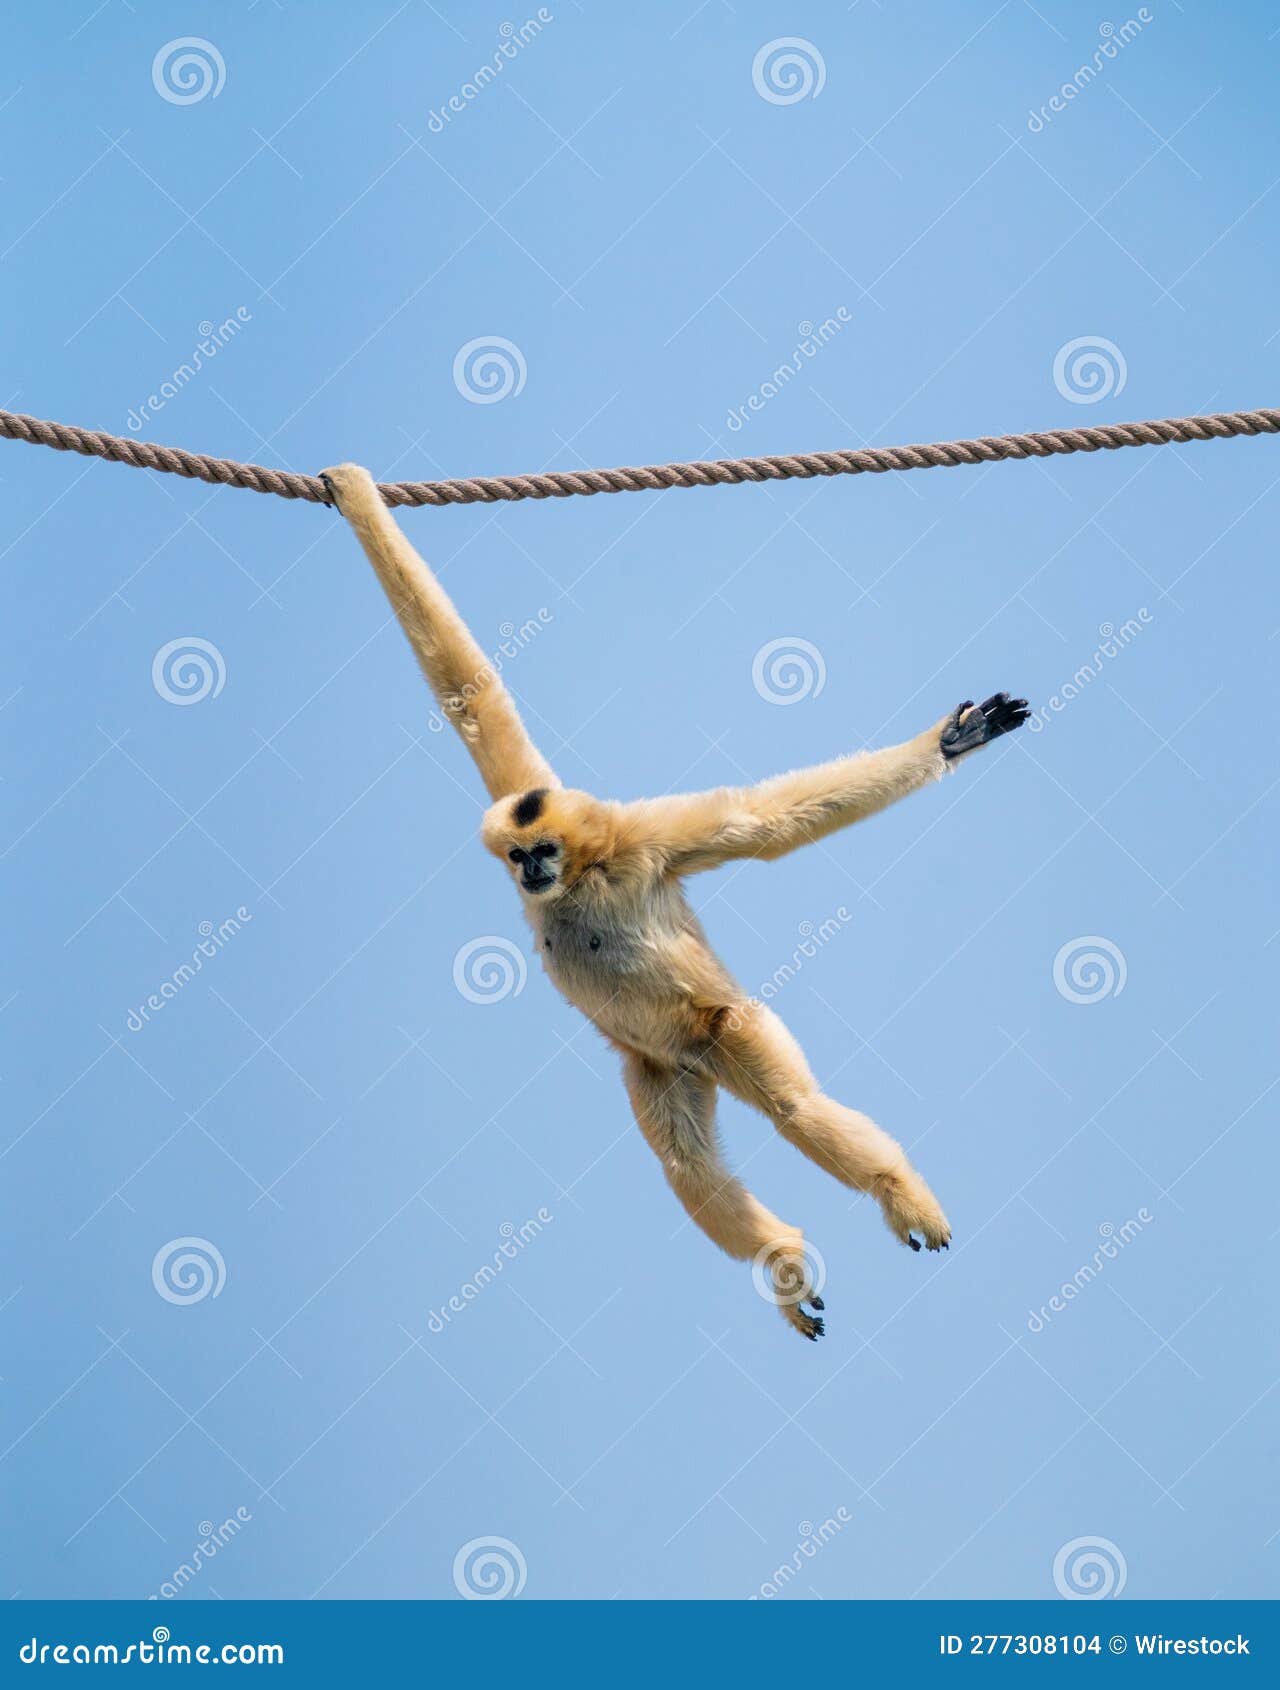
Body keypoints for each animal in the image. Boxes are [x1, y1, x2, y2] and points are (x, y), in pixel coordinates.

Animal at [319, 463, 1029, 1340]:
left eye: (544, 852)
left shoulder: (646, 839)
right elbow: (470, 696)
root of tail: (700, 1053)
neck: (584, 876)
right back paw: (783, 1260)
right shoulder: (535, 798)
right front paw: (355, 492)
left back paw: (899, 1197)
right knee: (686, 1165)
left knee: (793, 1106)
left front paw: (950, 741)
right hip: (661, 1067)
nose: (529, 874)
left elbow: (761, 822)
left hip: (728, 1026)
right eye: (518, 854)